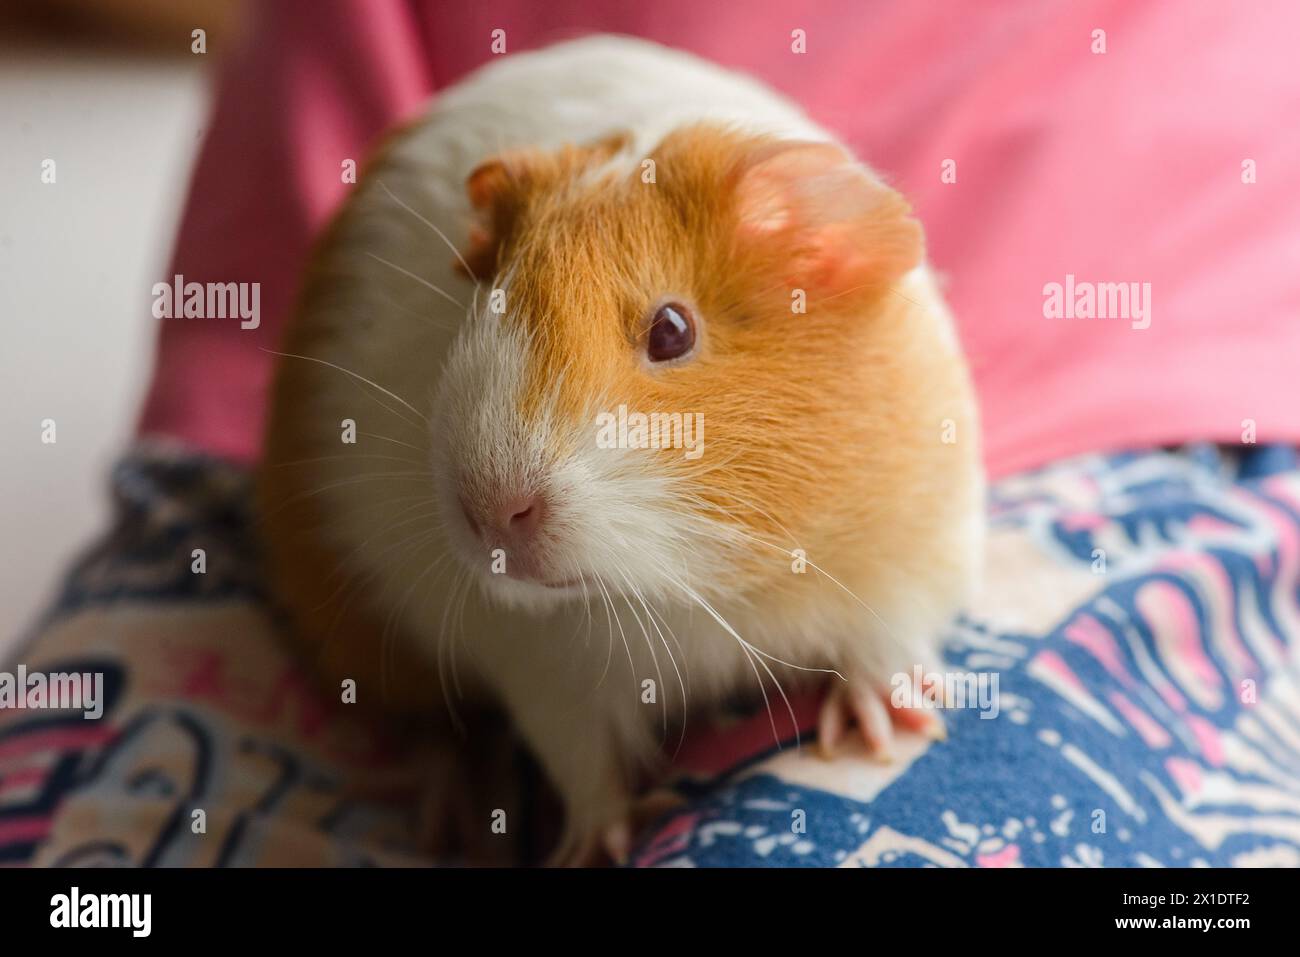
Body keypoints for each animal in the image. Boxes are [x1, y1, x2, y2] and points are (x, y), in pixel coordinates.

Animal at [258, 35, 984, 864]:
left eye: (671, 330)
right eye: (486, 304)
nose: (492, 509)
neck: (691, 590)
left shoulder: (916, 552)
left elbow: (889, 642)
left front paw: (882, 729)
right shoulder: (547, 668)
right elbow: (585, 761)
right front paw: (595, 846)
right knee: (438, 731)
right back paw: (455, 817)